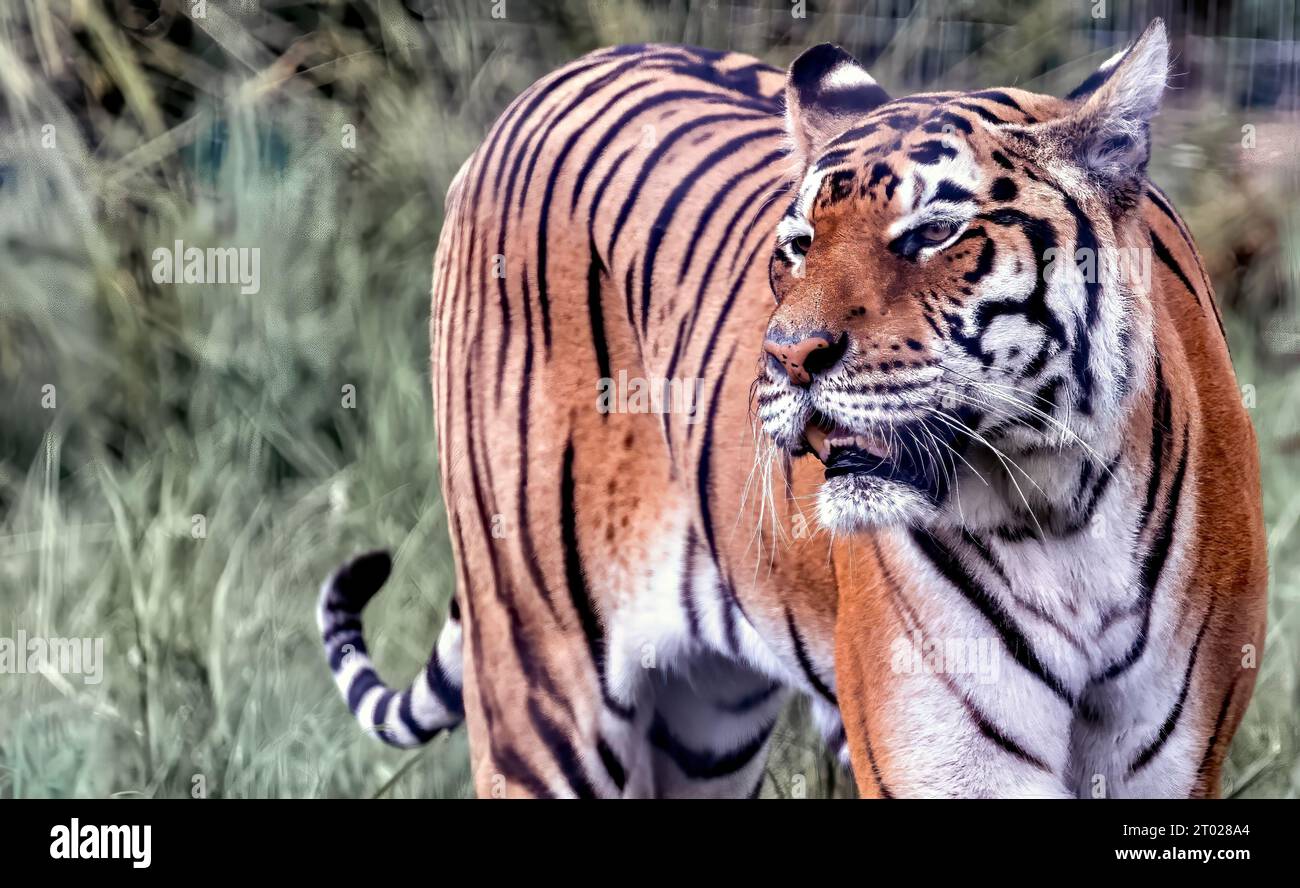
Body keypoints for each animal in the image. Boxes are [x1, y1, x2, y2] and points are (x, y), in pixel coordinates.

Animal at [318, 17, 1267, 798]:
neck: (1054, 509)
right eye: (799, 245)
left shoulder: (1172, 765)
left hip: (706, 725)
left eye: (933, 234)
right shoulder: (946, 760)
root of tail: (551, 81)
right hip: (543, 682)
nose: (786, 356)